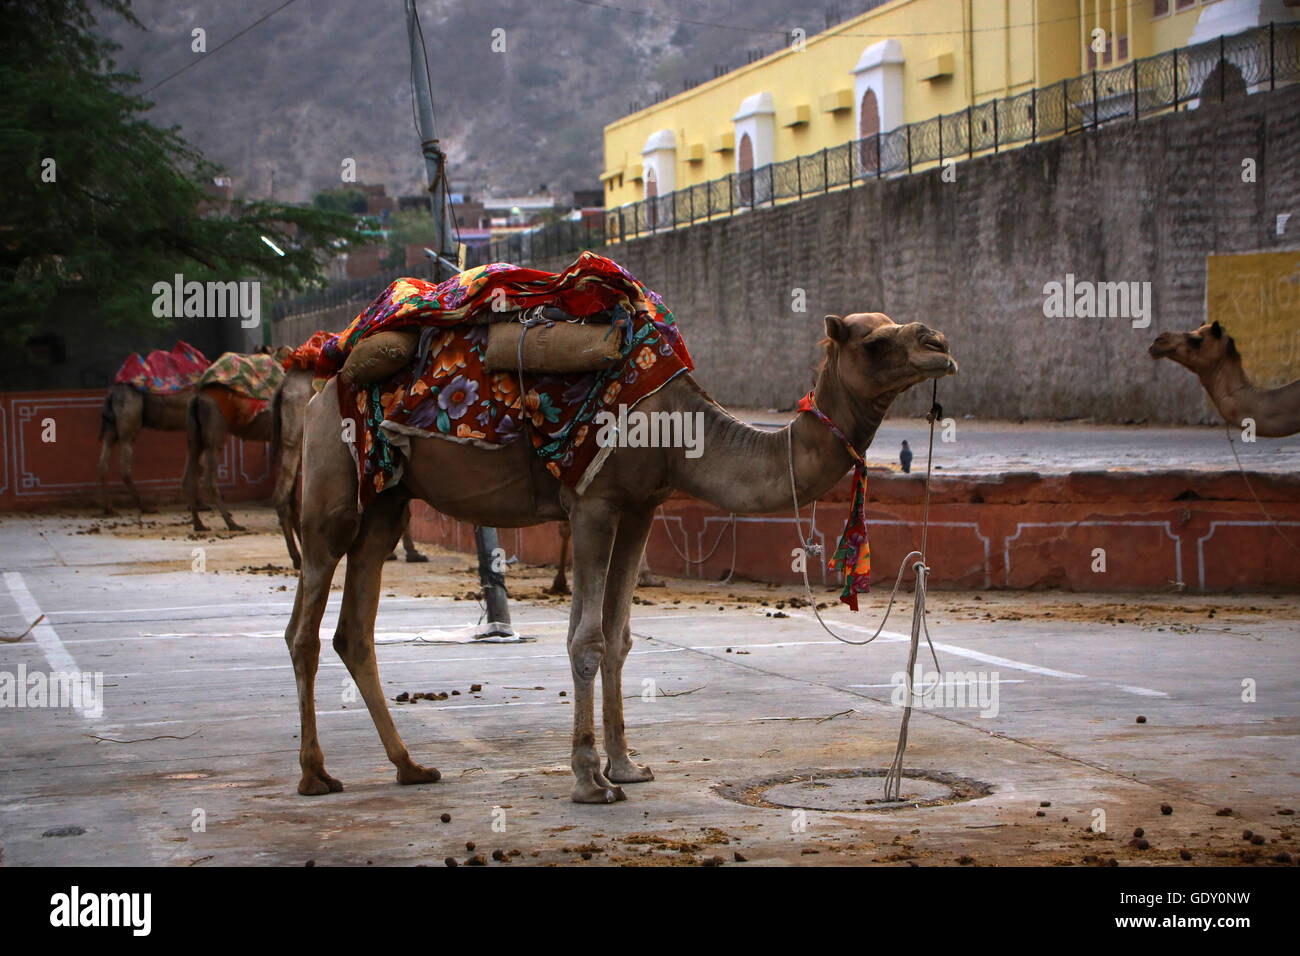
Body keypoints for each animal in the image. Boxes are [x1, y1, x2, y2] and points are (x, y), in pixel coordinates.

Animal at [283, 312, 956, 802]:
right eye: (875, 341)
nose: (941, 344)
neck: (680, 431)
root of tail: (322, 383)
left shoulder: (641, 507)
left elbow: (619, 634)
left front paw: (627, 765)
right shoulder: (593, 502)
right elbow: (585, 637)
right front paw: (589, 780)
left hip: (388, 501)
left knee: (354, 630)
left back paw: (410, 767)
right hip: (333, 487)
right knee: (305, 627)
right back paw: (315, 775)